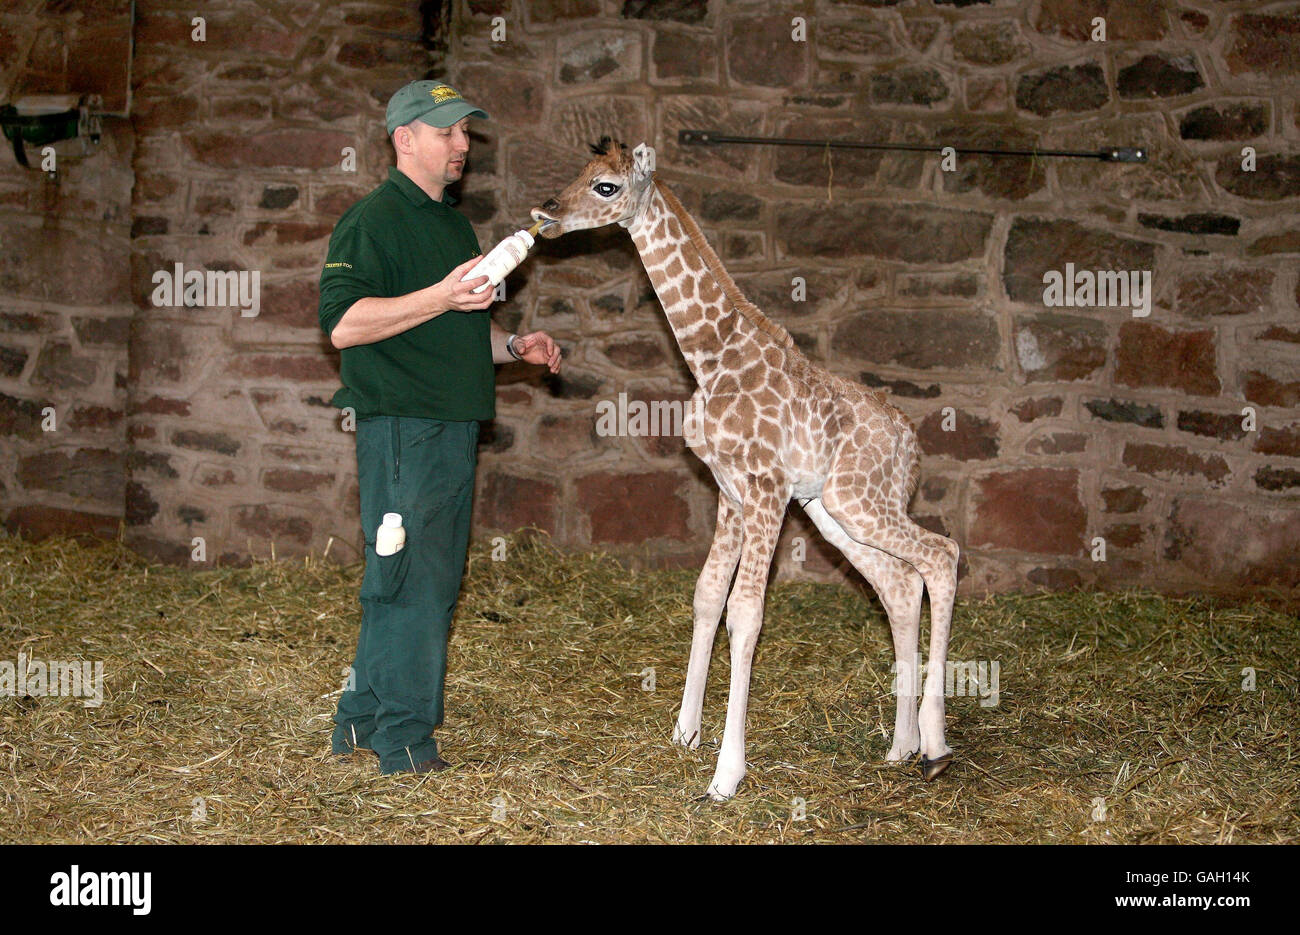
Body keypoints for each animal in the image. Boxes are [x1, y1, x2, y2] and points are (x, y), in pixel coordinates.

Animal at [531, 138, 960, 801]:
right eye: (580, 172)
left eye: (606, 186)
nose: (546, 212)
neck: (710, 358)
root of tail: (912, 446)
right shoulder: (730, 491)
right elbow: (709, 596)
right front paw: (685, 731)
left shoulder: (766, 487)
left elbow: (748, 614)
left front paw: (727, 773)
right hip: (836, 511)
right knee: (899, 583)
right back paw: (900, 747)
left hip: (857, 502)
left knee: (940, 555)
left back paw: (935, 747)